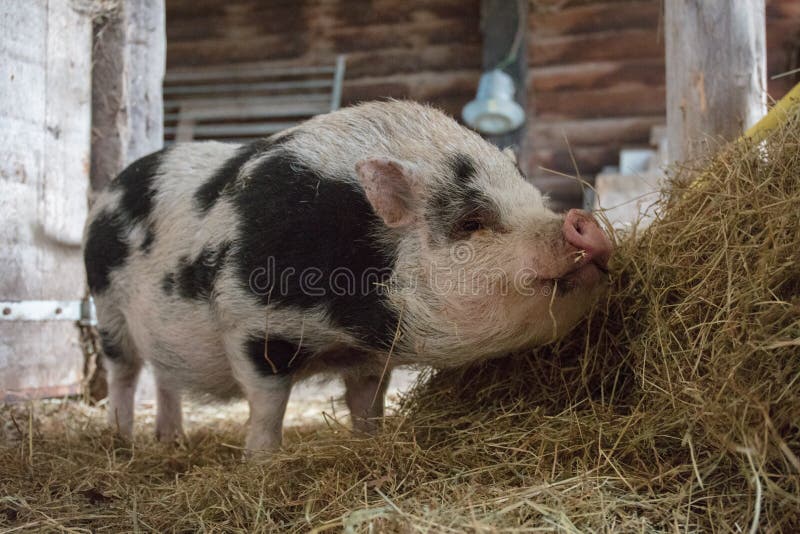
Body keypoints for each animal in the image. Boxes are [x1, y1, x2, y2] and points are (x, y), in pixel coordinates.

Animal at [83, 100, 612, 453]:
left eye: (538, 200)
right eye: (471, 221)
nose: (582, 223)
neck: (349, 320)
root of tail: (107, 193)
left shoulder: (368, 357)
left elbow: (366, 403)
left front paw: (371, 444)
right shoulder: (252, 324)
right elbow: (267, 404)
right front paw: (262, 463)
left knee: (165, 377)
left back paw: (170, 442)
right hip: (106, 308)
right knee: (124, 373)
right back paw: (122, 440)